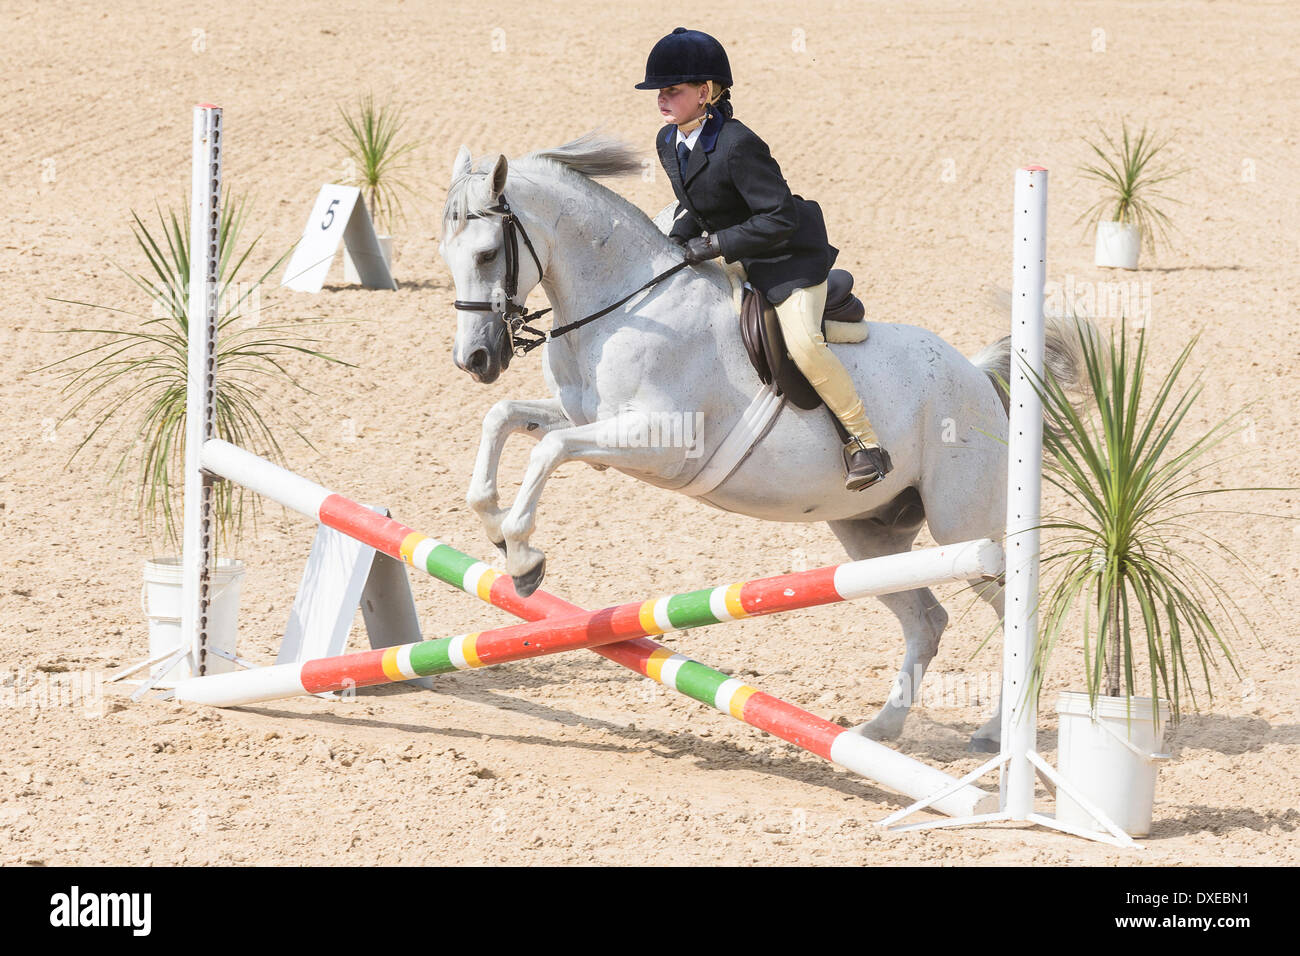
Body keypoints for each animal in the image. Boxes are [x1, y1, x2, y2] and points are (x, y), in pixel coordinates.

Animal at [437, 132, 1088, 750]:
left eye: (488, 254)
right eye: (448, 256)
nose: (475, 360)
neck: (624, 306)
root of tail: (977, 376)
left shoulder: (655, 443)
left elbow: (546, 451)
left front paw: (523, 559)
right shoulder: (580, 419)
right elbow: (503, 418)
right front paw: (495, 526)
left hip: (964, 531)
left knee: (1014, 611)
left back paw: (995, 732)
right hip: (870, 538)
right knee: (927, 620)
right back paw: (878, 730)